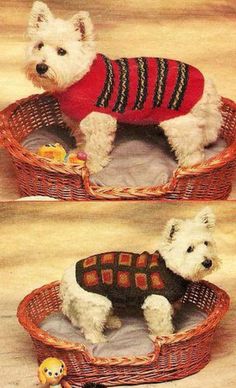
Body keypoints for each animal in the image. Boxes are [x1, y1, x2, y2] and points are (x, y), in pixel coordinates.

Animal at [25, 1, 223, 174]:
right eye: (39, 45)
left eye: (62, 51)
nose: (40, 67)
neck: (79, 78)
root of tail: (205, 82)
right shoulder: (77, 121)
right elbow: (83, 140)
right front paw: (80, 153)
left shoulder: (99, 122)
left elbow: (96, 147)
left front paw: (93, 166)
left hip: (179, 123)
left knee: (193, 149)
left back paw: (189, 167)